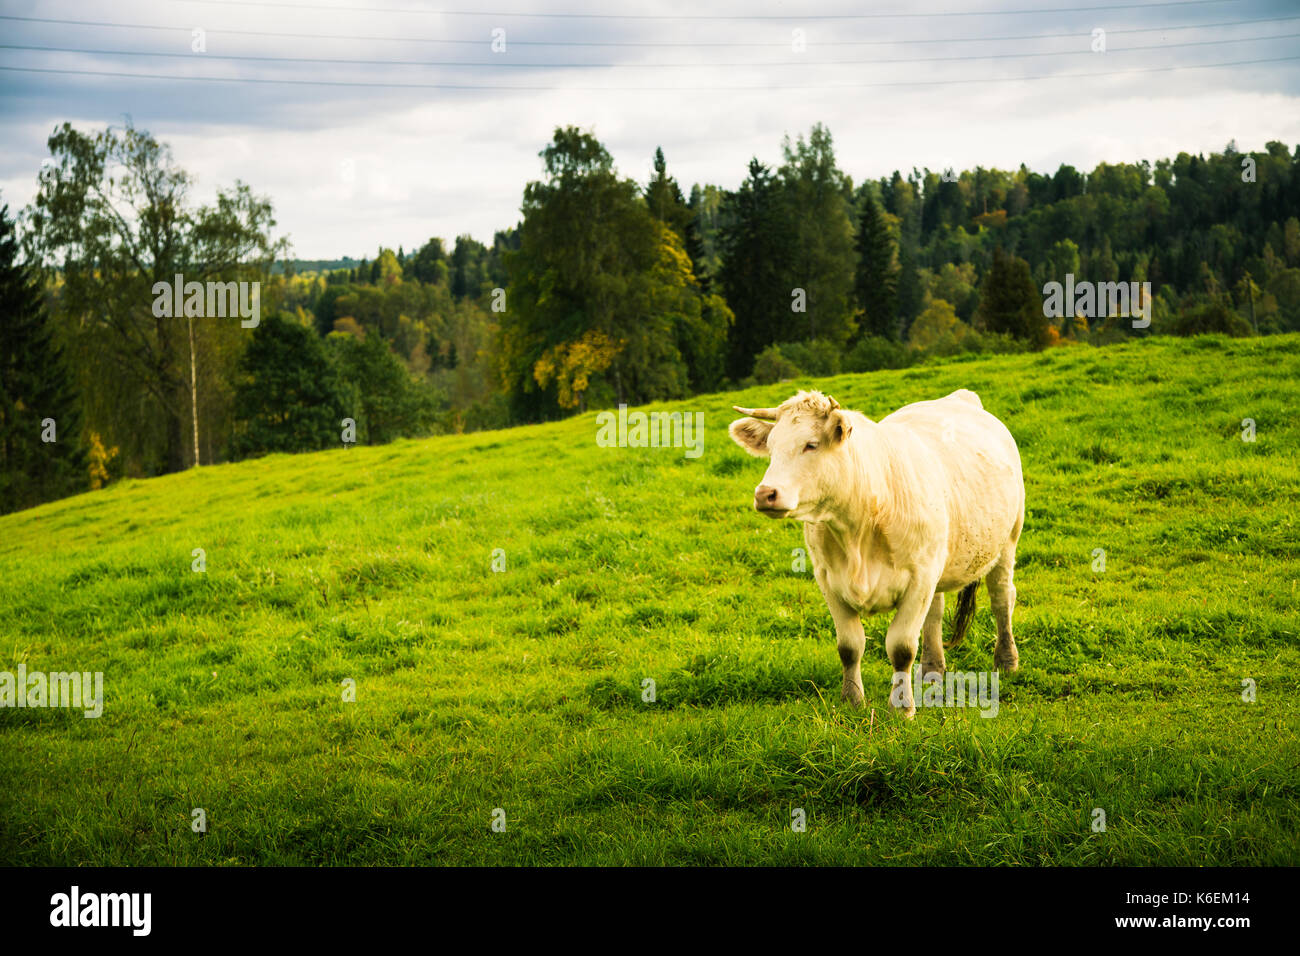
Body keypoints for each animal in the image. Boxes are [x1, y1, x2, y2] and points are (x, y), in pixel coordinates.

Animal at [729, 389, 1025, 718]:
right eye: (770, 447)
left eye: (811, 444)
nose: (765, 494)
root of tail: (960, 397)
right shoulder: (827, 578)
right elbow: (849, 646)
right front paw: (852, 699)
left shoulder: (919, 577)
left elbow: (901, 647)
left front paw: (902, 707)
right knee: (934, 613)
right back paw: (932, 670)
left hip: (1008, 540)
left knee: (1002, 598)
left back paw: (1006, 660)